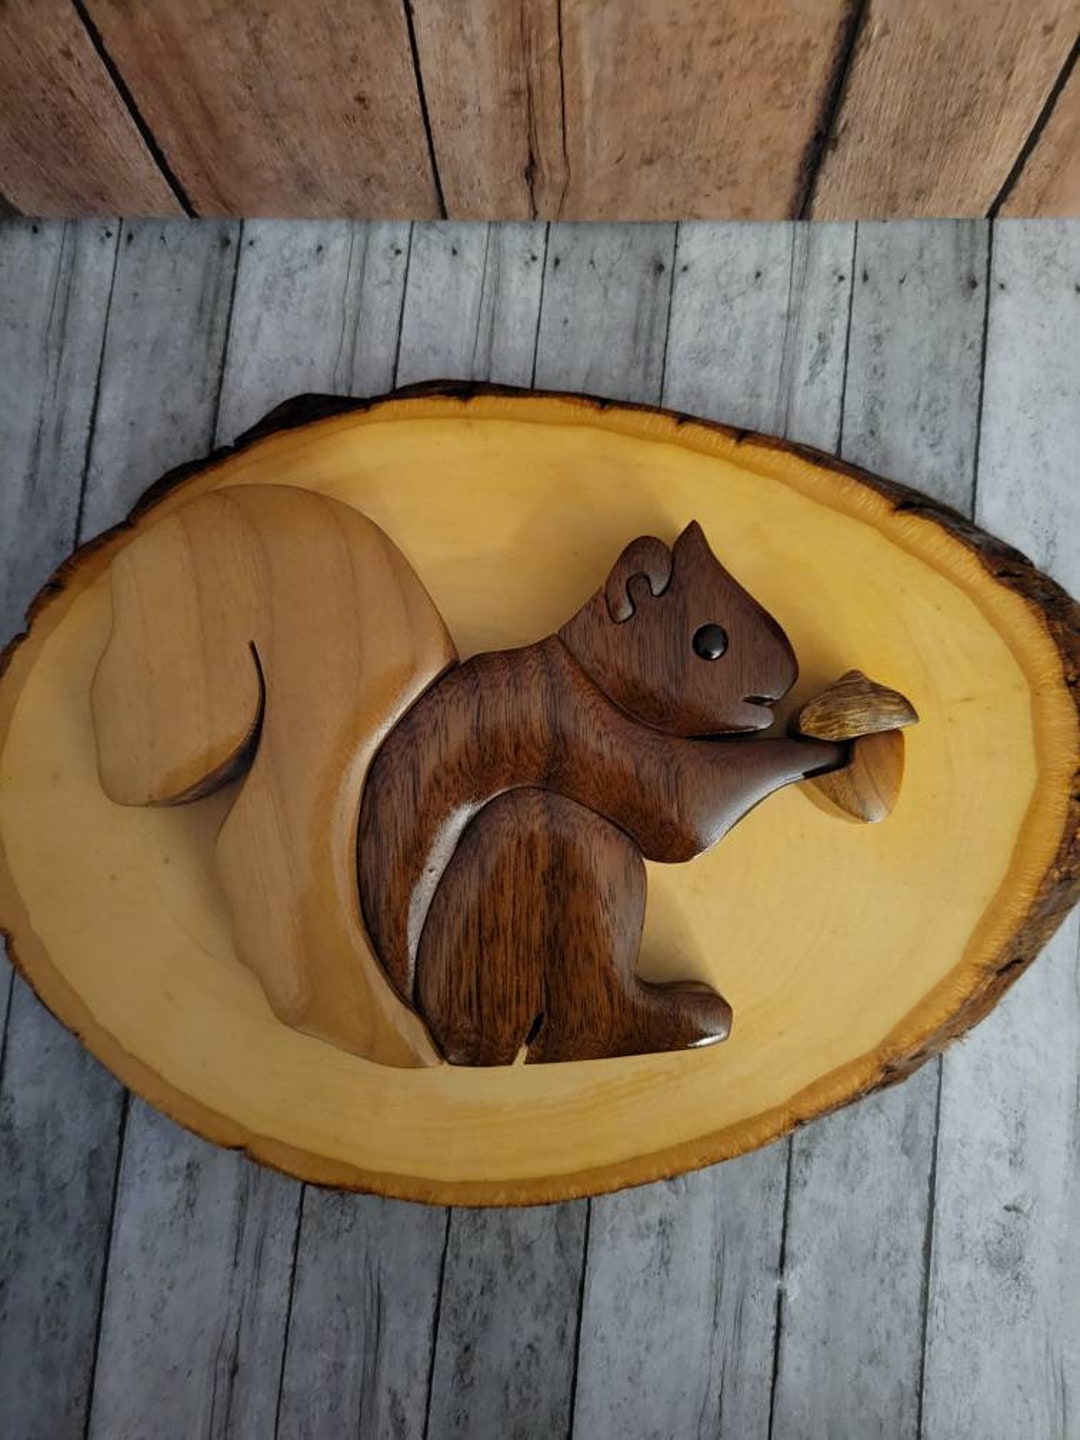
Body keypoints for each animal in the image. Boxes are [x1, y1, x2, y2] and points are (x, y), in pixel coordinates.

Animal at [92, 485, 884, 1070]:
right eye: (709, 642)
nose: (782, 683)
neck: (590, 672)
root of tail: (437, 1038)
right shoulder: (581, 734)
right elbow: (685, 815)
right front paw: (825, 744)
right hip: (549, 859)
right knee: (572, 1031)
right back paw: (673, 1022)